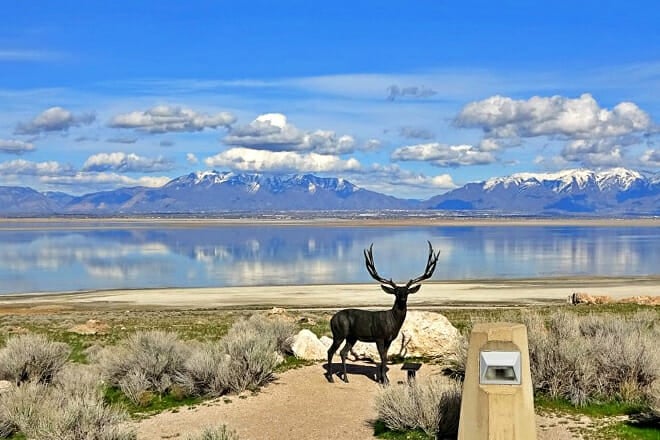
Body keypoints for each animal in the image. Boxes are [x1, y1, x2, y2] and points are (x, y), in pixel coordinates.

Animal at [326, 241, 439, 384]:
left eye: (407, 292)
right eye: (396, 292)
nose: (402, 298)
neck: (392, 323)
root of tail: (331, 319)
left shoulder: (389, 339)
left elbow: (385, 356)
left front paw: (384, 379)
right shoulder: (379, 336)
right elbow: (383, 357)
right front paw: (384, 381)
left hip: (352, 337)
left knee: (343, 352)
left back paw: (346, 378)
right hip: (339, 333)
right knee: (330, 351)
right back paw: (330, 378)